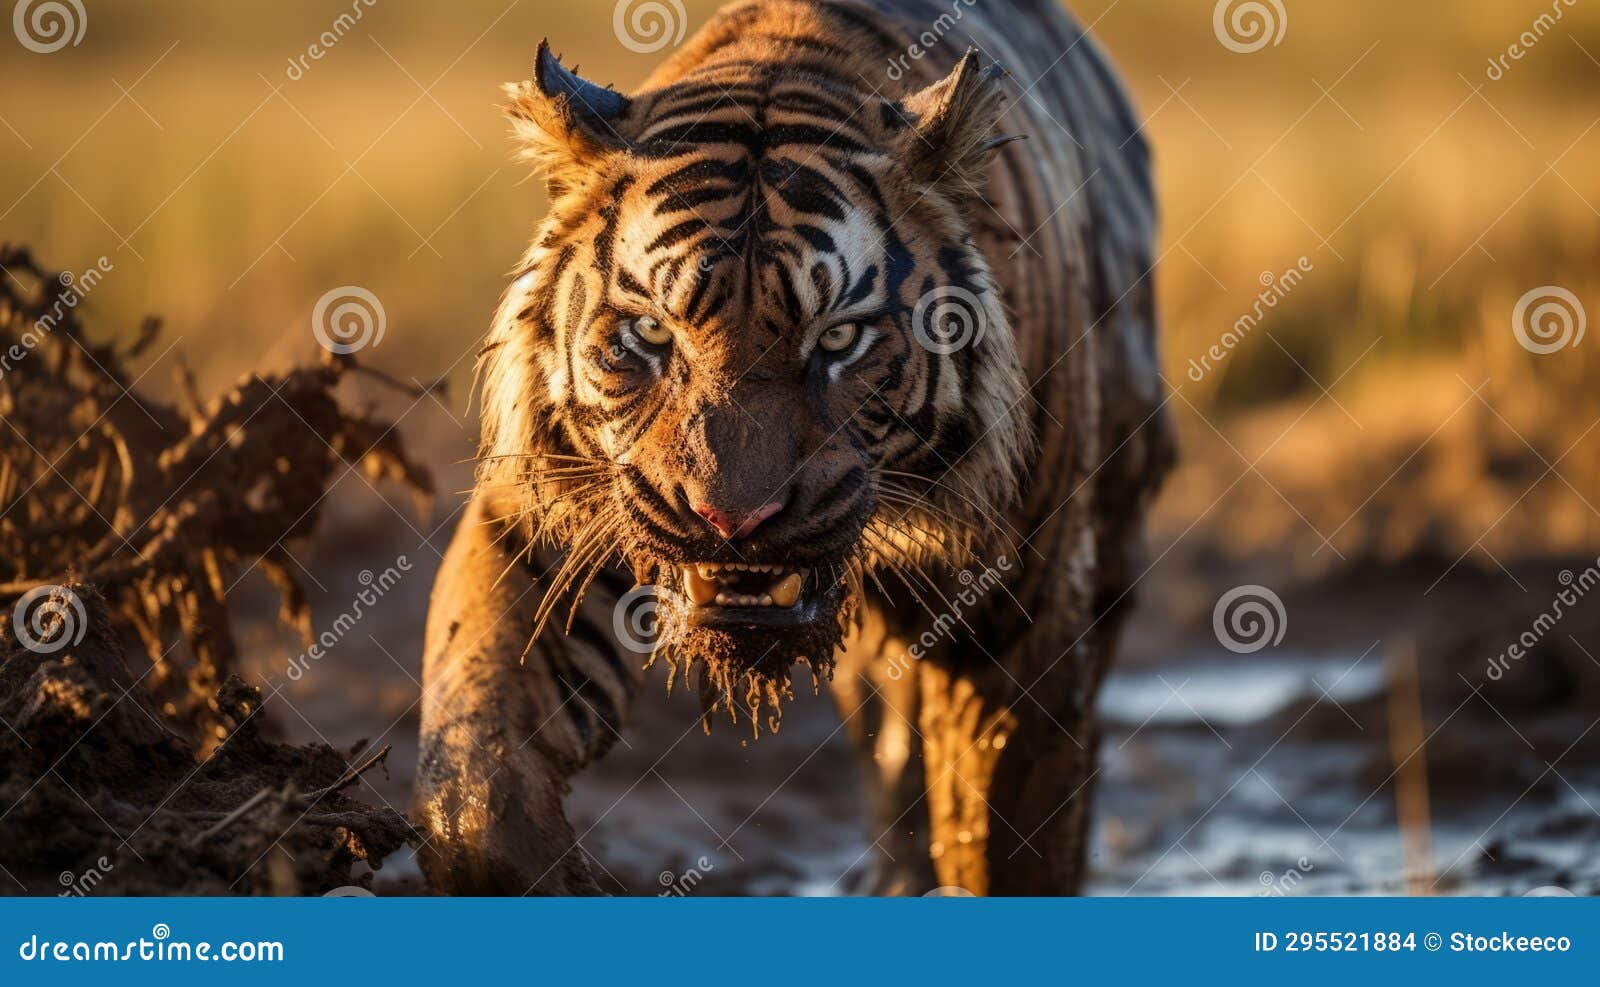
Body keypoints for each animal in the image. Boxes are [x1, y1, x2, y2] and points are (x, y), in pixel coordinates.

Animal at [412, 0, 1173, 896]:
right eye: (650, 335)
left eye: (838, 338)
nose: (733, 519)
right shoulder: (545, 517)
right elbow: (478, 749)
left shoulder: (1024, 597)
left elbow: (1009, 836)